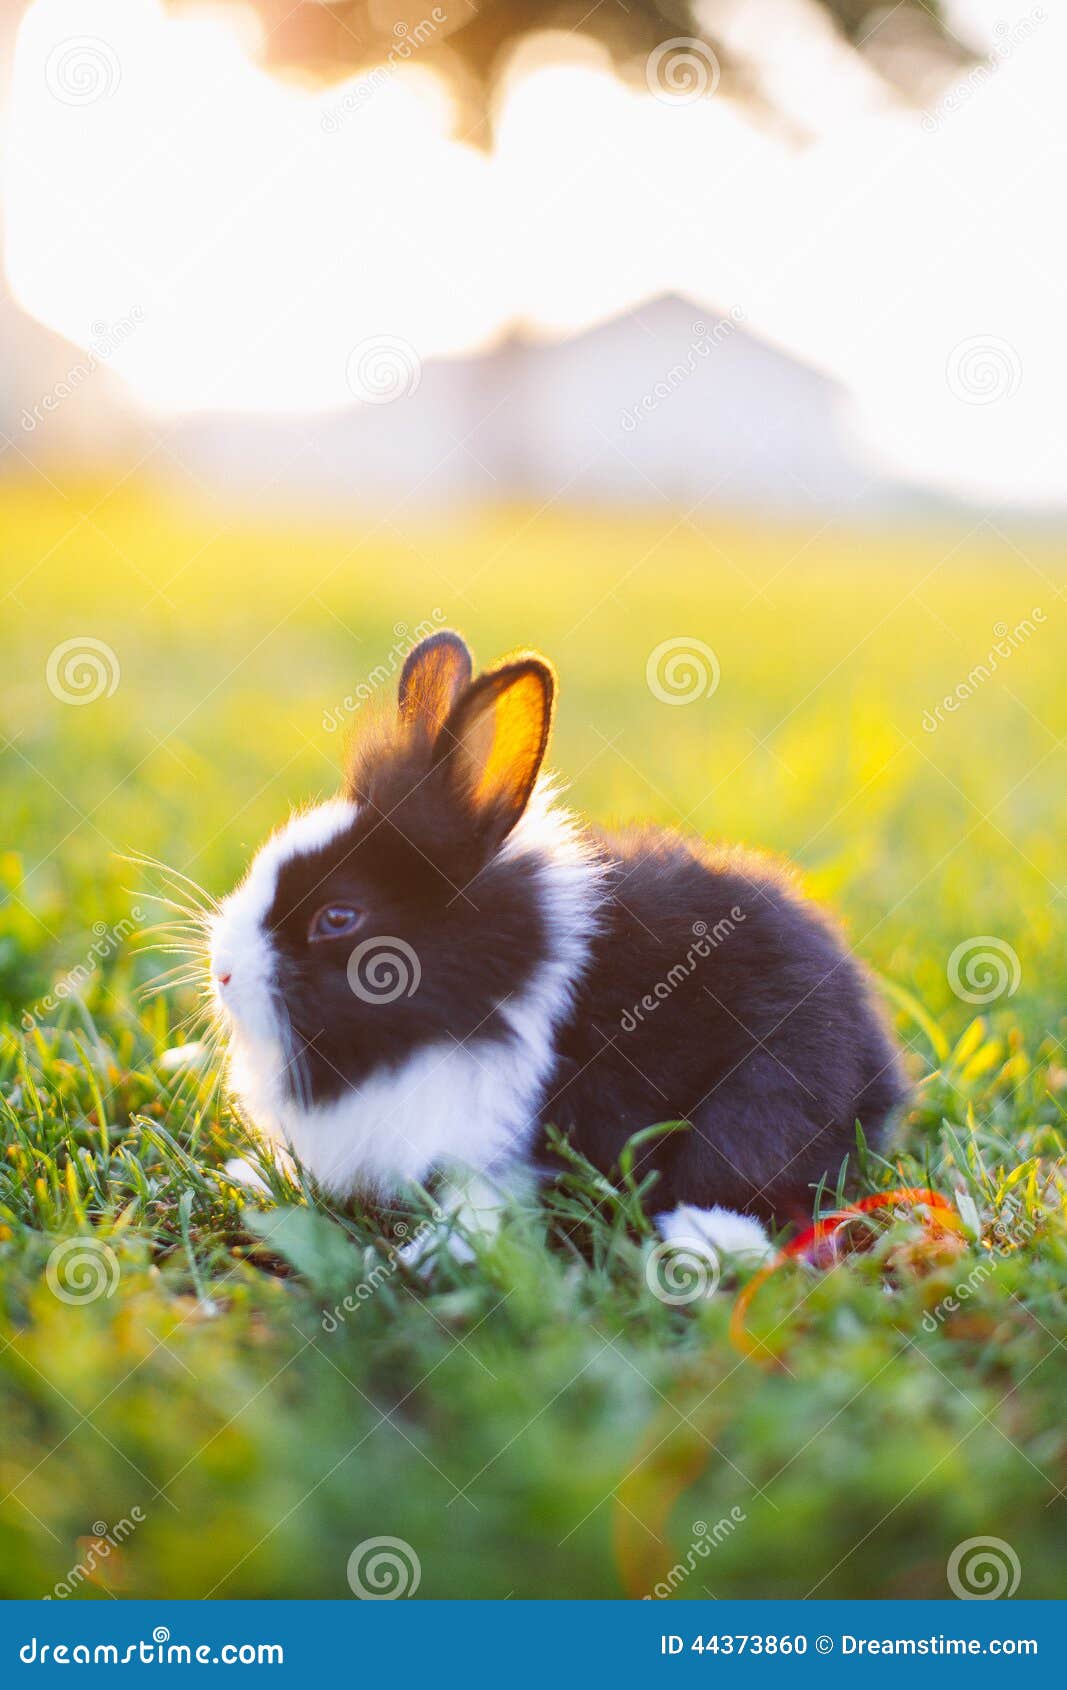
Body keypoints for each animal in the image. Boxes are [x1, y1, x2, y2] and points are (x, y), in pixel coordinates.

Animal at [209, 629, 904, 1268]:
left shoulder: (488, 1136)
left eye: (338, 917)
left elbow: (478, 1201)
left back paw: (701, 1241)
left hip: (767, 1094)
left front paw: (433, 1257)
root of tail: (879, 1060)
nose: (222, 975)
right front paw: (250, 1175)